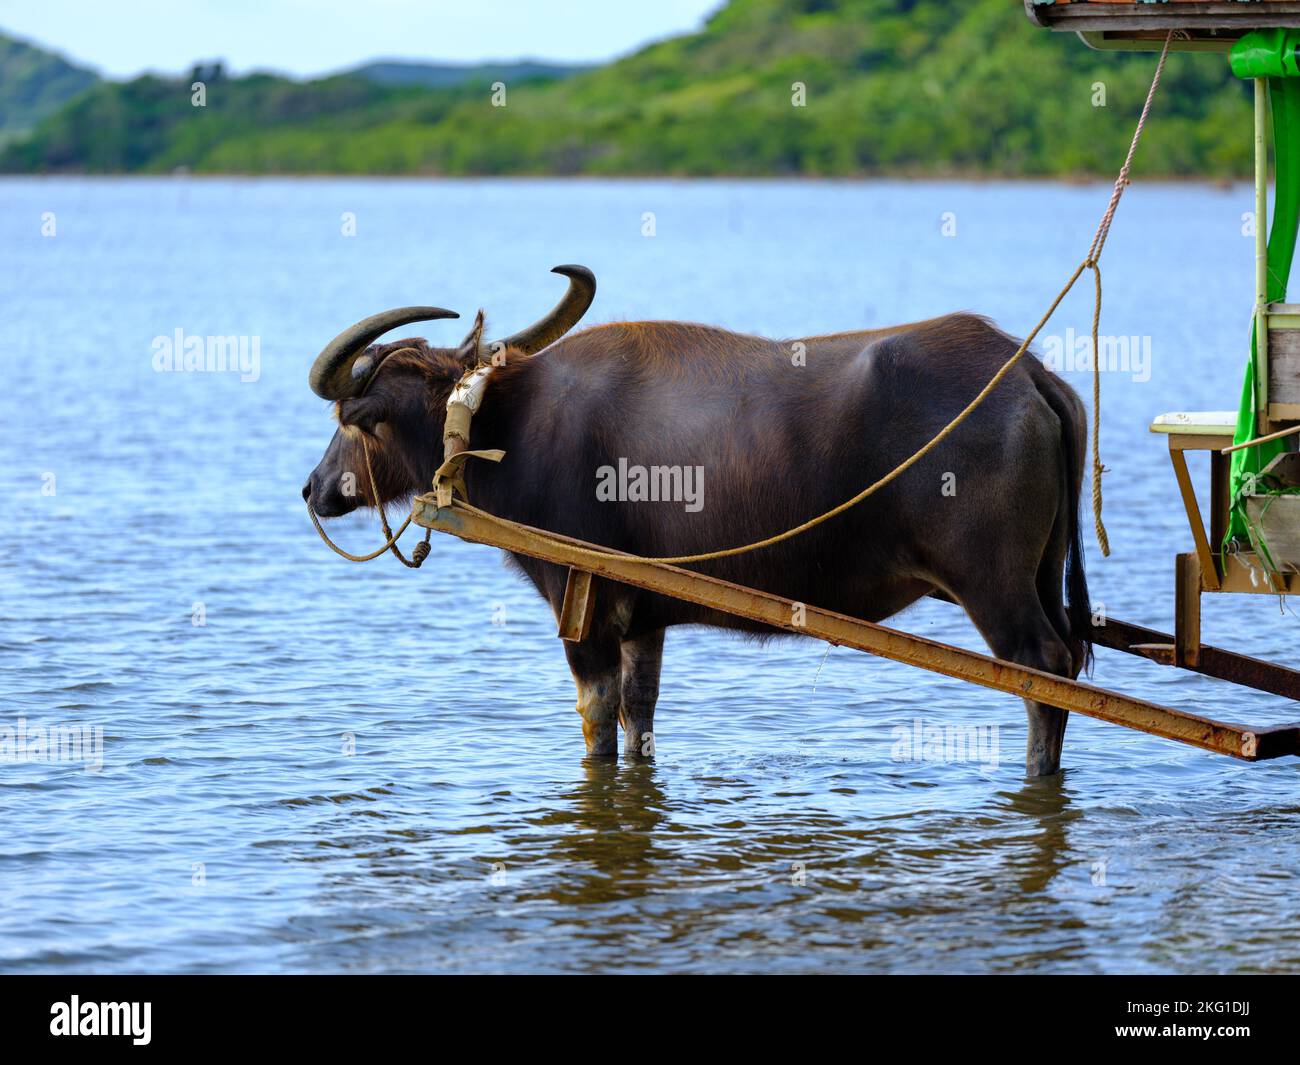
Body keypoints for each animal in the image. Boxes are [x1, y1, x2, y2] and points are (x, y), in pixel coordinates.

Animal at [303, 266, 1090, 776]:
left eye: (351, 418)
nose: (314, 488)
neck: (509, 425)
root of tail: (1027, 375)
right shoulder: (641, 620)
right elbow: (639, 716)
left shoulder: (580, 608)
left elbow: (596, 719)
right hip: (1043, 576)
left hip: (994, 584)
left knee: (1045, 672)